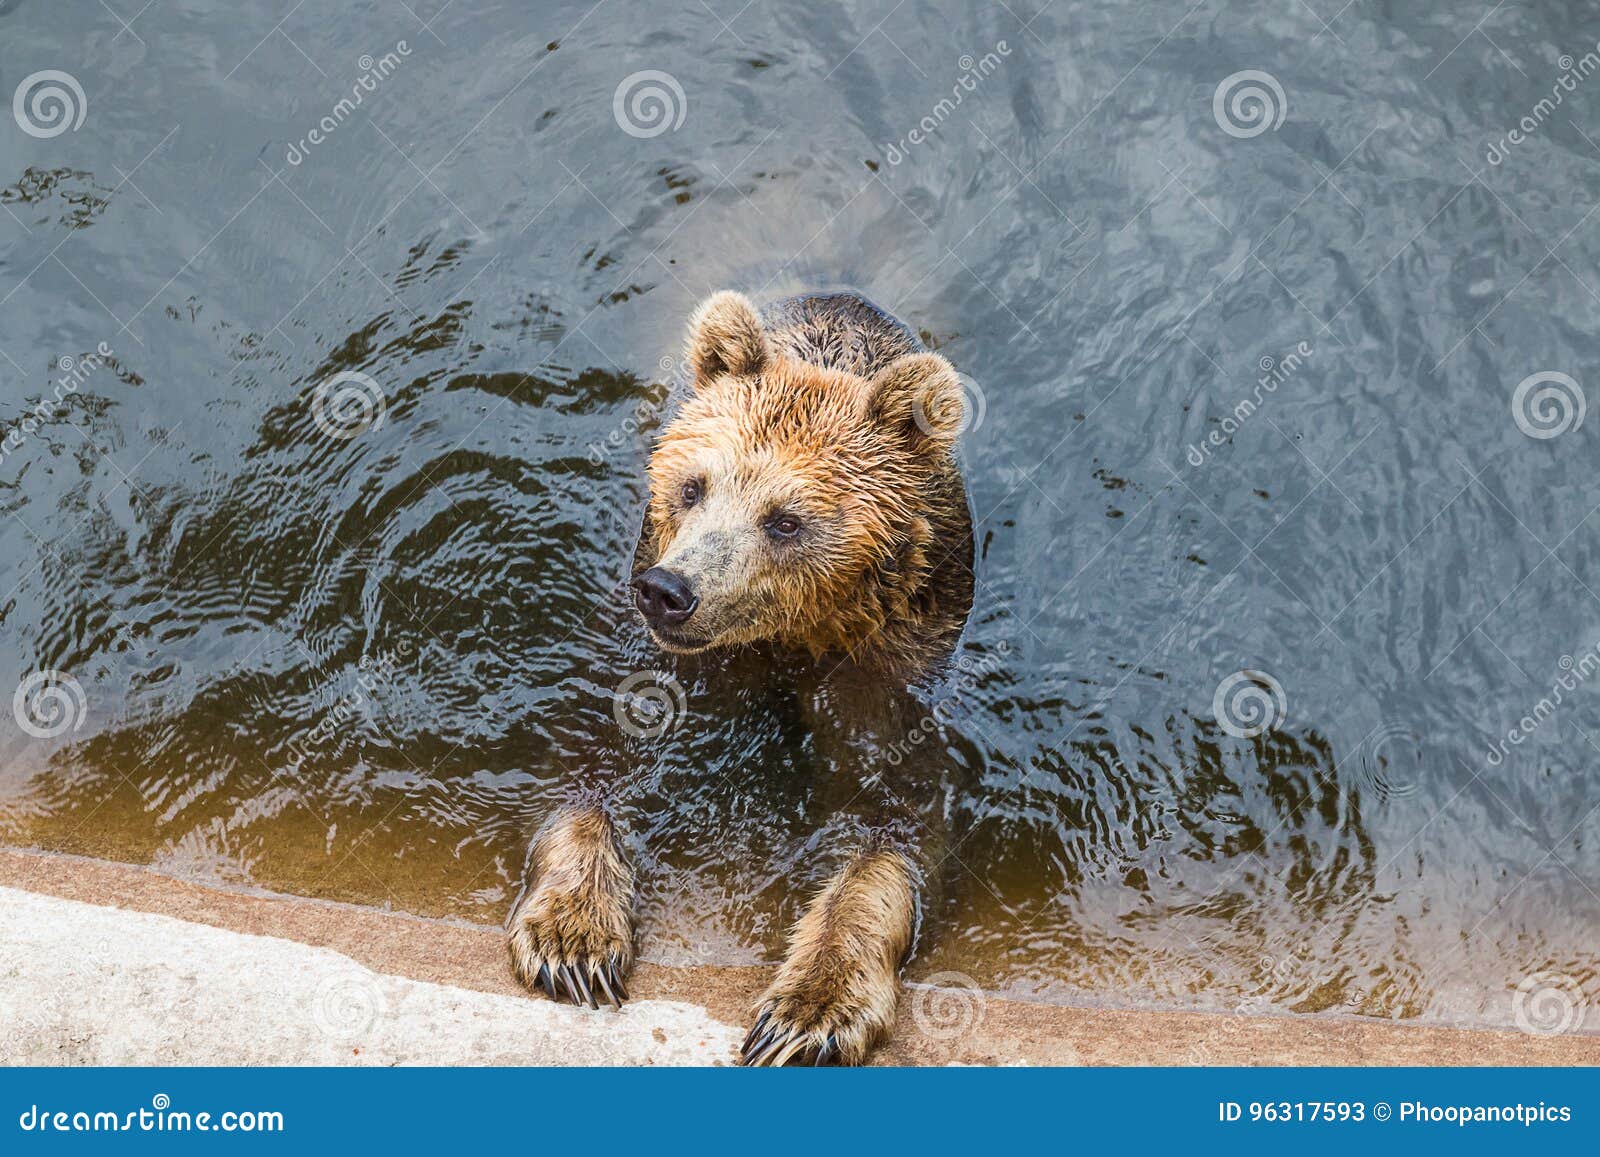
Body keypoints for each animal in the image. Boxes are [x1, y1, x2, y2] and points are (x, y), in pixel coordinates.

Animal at [507, 289, 975, 1065]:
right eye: (694, 486)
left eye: (785, 520)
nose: (669, 590)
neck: (789, 637)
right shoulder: (664, 655)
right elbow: (591, 755)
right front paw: (571, 936)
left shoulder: (891, 660)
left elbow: (895, 822)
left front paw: (809, 1010)